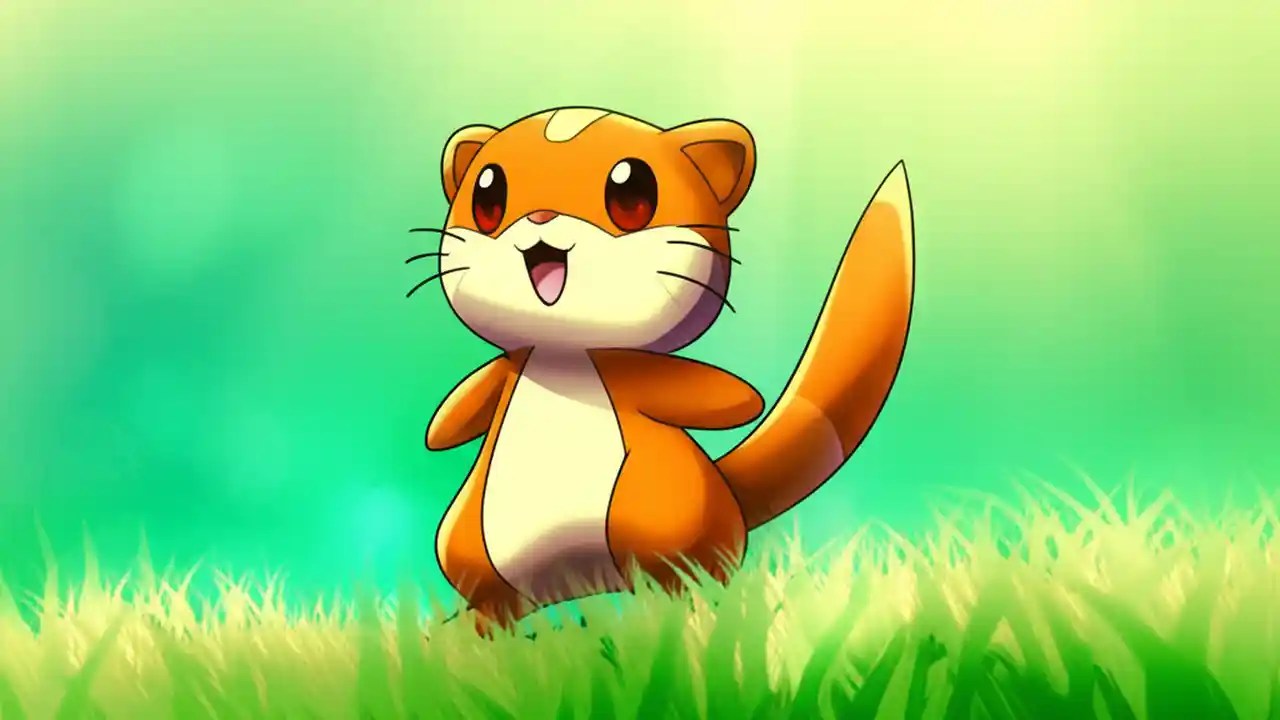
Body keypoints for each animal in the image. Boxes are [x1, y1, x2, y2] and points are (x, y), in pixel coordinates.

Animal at [413, 107, 914, 636]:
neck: (563, 355)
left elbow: (720, 394)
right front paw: (440, 426)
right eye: (487, 196)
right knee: (495, 604)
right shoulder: (511, 367)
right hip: (468, 542)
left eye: (631, 194)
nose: (541, 219)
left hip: (666, 517)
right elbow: (462, 405)